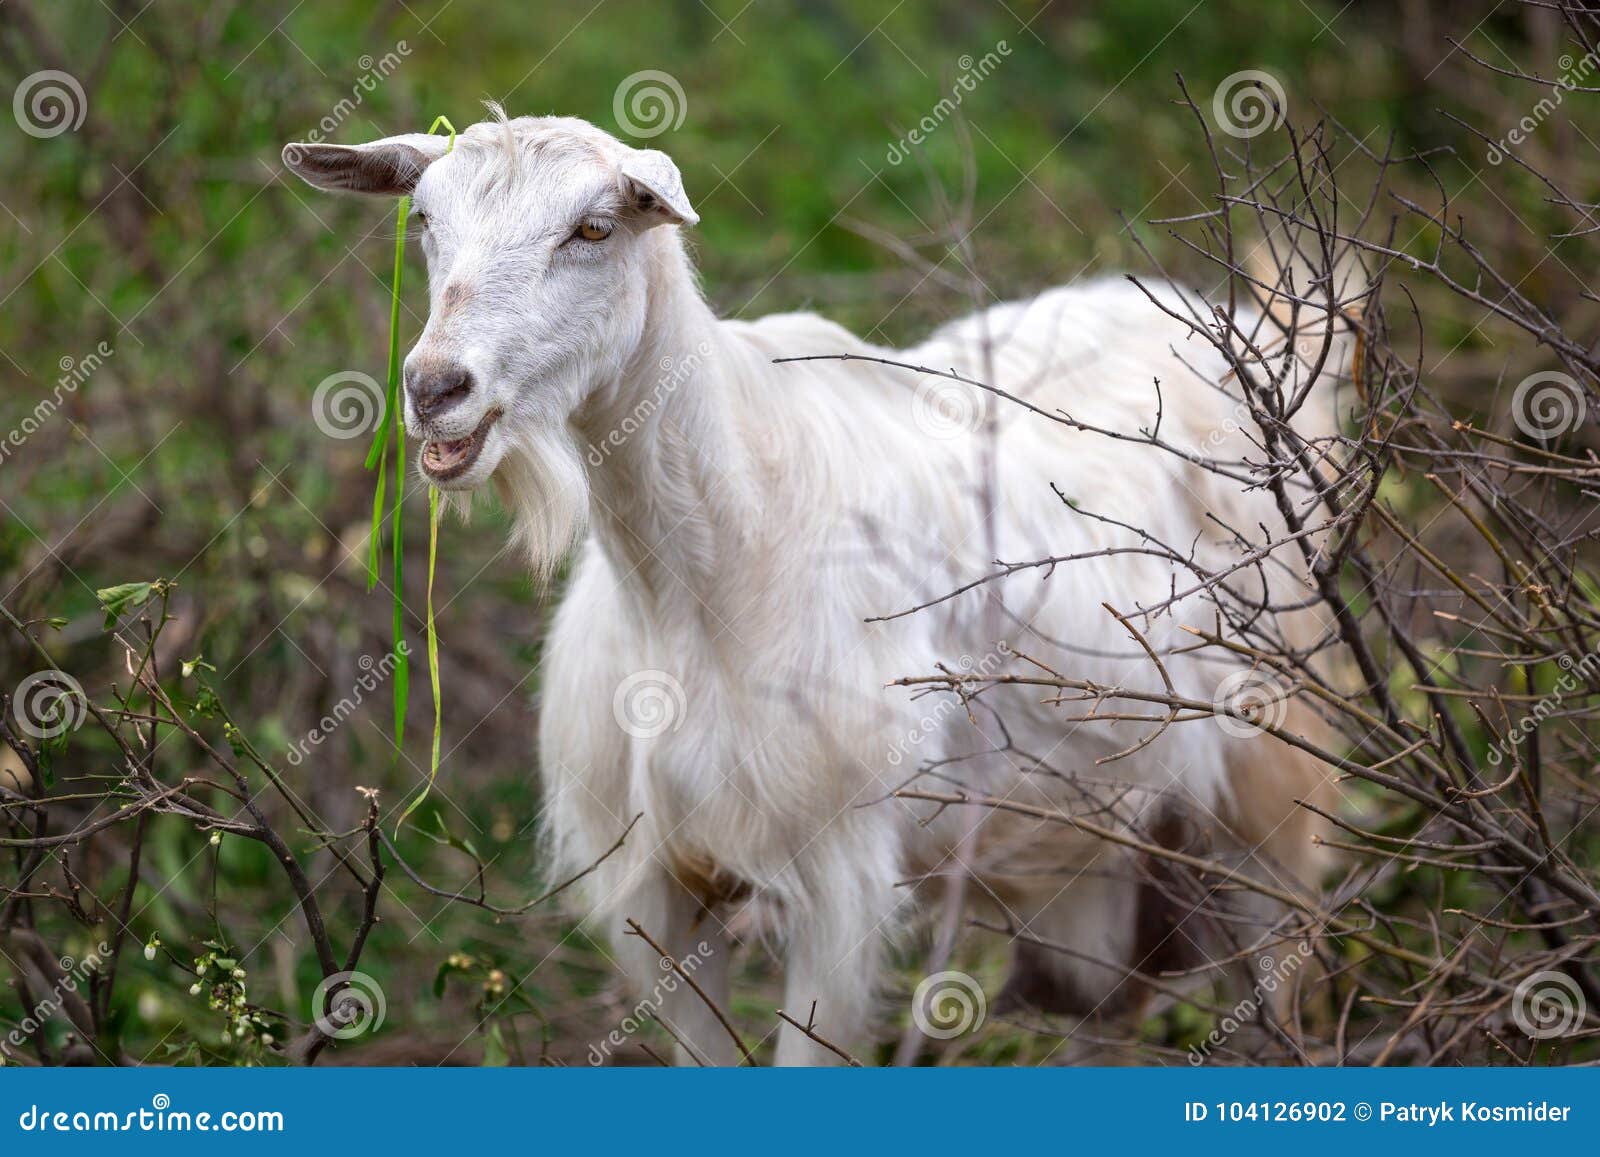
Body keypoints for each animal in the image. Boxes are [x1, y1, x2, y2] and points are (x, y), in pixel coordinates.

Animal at [285, 110, 1342, 1066]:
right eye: (424, 218)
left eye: (594, 227)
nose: (437, 388)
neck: (700, 583)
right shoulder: (661, 890)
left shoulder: (841, 879)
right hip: (1096, 857)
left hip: (1274, 774)